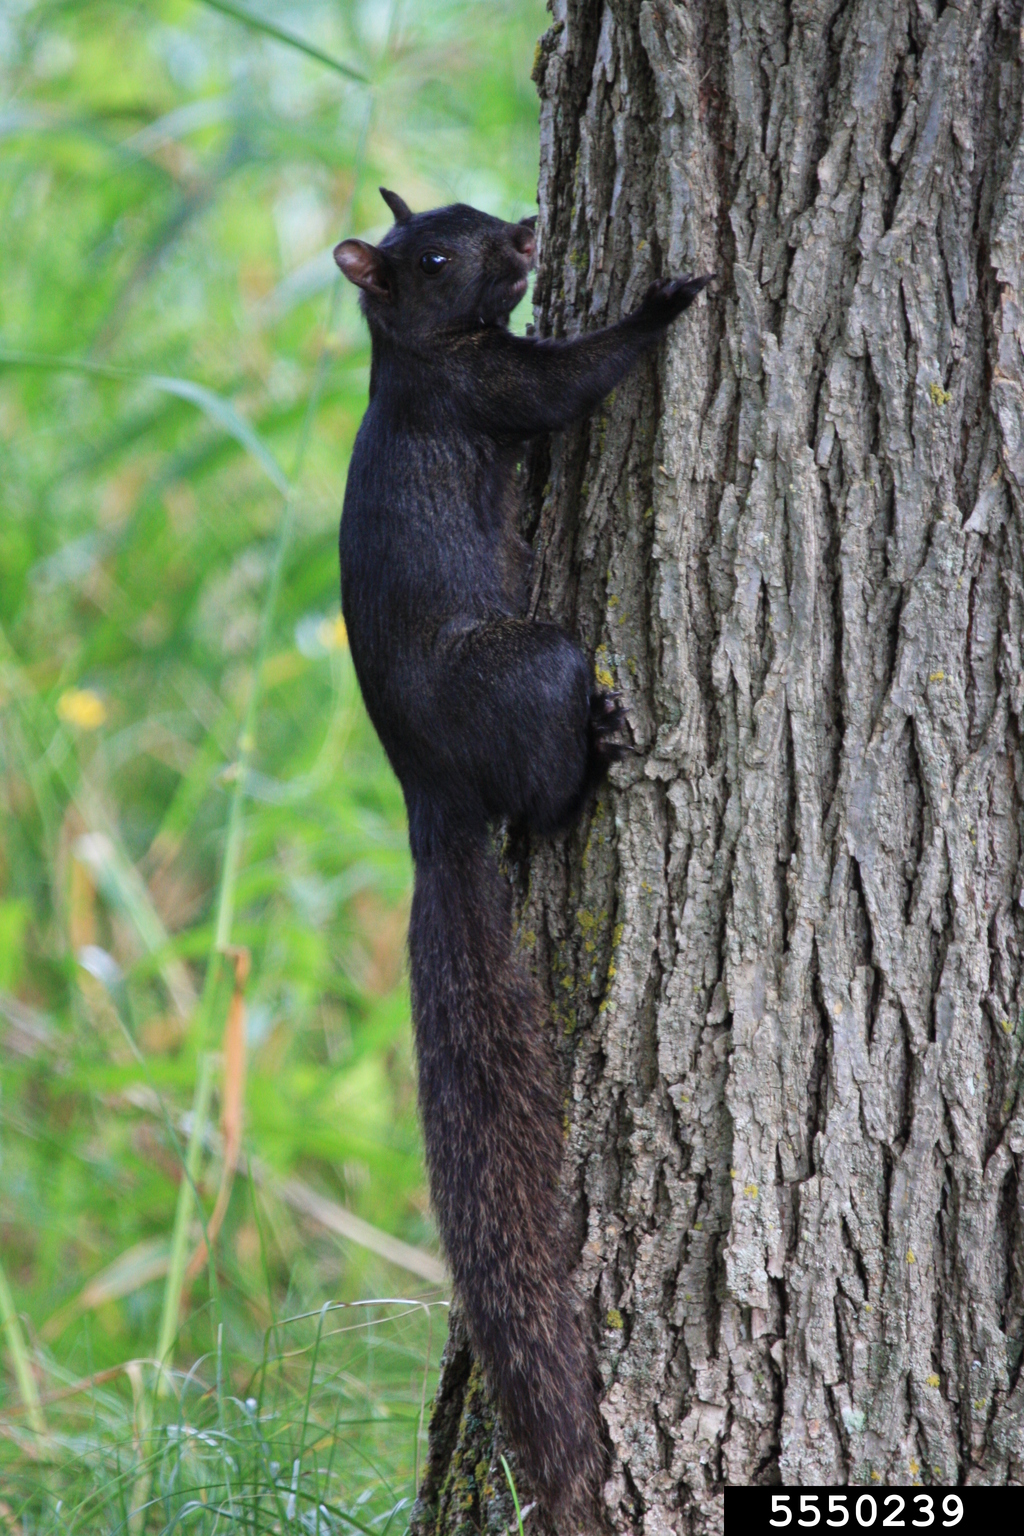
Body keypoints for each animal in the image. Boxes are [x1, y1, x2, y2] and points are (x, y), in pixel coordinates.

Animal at [333, 187, 710, 1519]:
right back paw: (596, 751)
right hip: (533, 662)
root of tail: (426, 793)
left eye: (470, 205)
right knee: (538, 807)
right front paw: (667, 299)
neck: (411, 357)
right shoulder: (488, 390)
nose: (530, 227)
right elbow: (572, 383)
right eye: (439, 252)